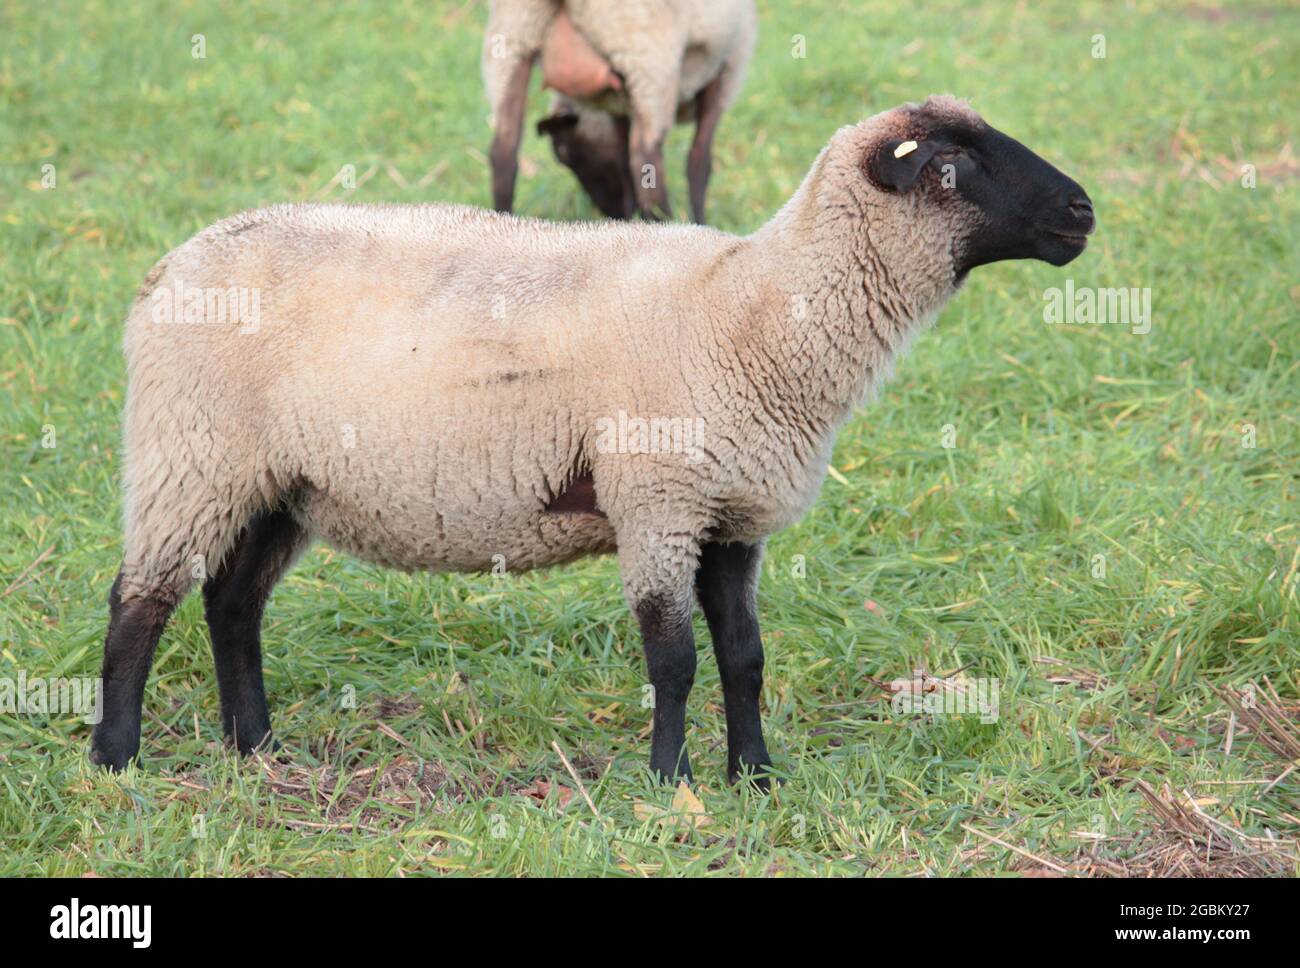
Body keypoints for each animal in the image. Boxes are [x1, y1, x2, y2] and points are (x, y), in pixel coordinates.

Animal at [90, 96, 1095, 786]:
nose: (1083, 211)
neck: (757, 313)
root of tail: (164, 266)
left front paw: (756, 776)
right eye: (954, 161)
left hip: (278, 480)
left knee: (232, 603)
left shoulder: (731, 514)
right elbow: (674, 659)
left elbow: (745, 657)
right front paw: (671, 783)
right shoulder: (657, 501)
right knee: (140, 602)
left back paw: (255, 746)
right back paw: (116, 757)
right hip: (191, 453)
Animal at [483, 0, 757, 222]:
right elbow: (699, 163)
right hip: (649, 57)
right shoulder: (728, 66)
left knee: (503, 154)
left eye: (565, 155)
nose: (609, 212)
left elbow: (624, 163)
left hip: (514, 37)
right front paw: (701, 222)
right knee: (646, 162)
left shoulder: (616, 99)